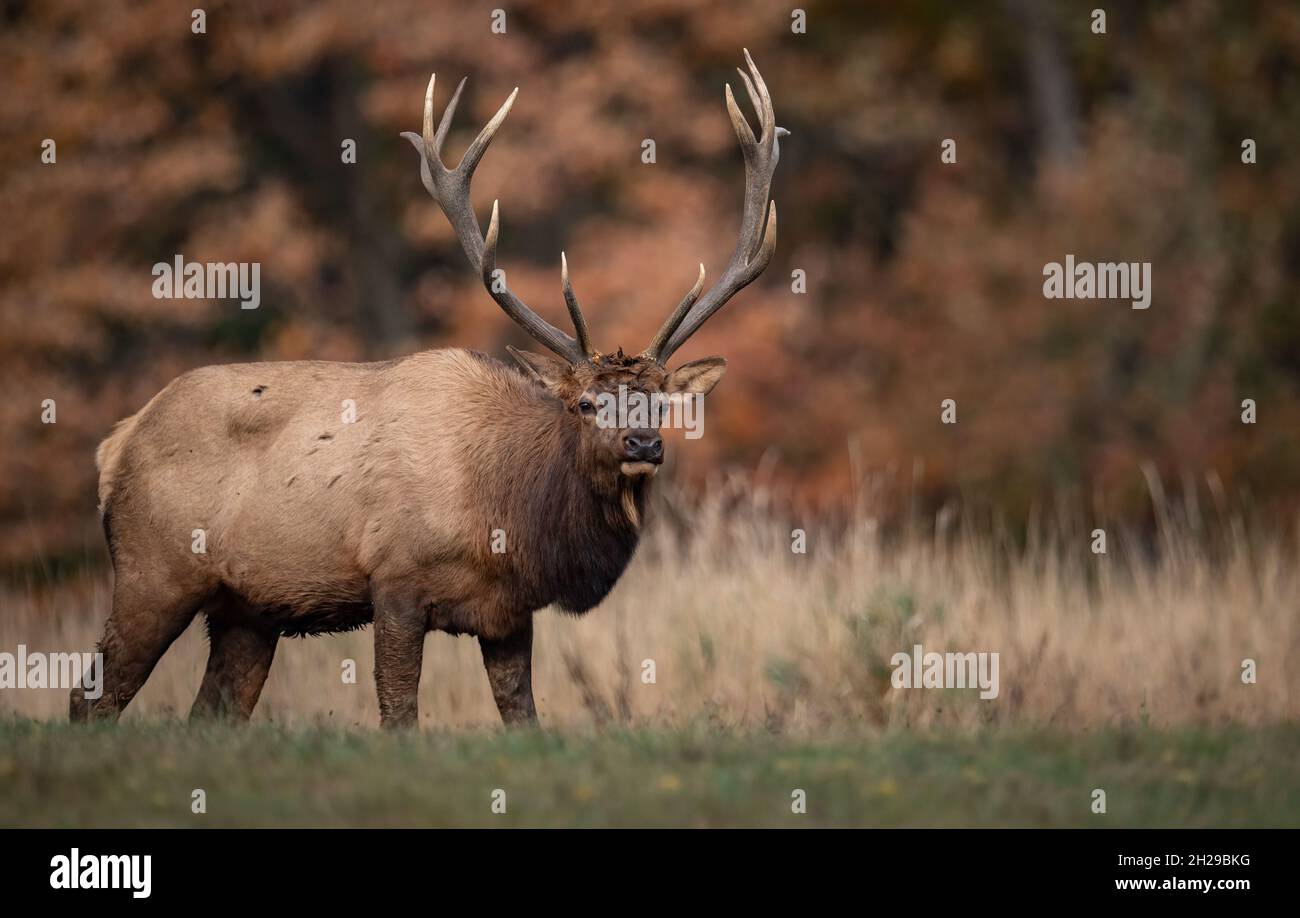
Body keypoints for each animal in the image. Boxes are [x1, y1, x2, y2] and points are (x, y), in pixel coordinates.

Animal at [70, 50, 784, 728]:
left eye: (660, 401)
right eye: (585, 403)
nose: (642, 443)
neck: (507, 517)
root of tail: (116, 443)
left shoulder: (508, 616)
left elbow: (523, 717)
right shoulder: (395, 581)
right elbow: (400, 714)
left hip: (247, 611)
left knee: (209, 711)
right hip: (153, 572)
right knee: (90, 697)